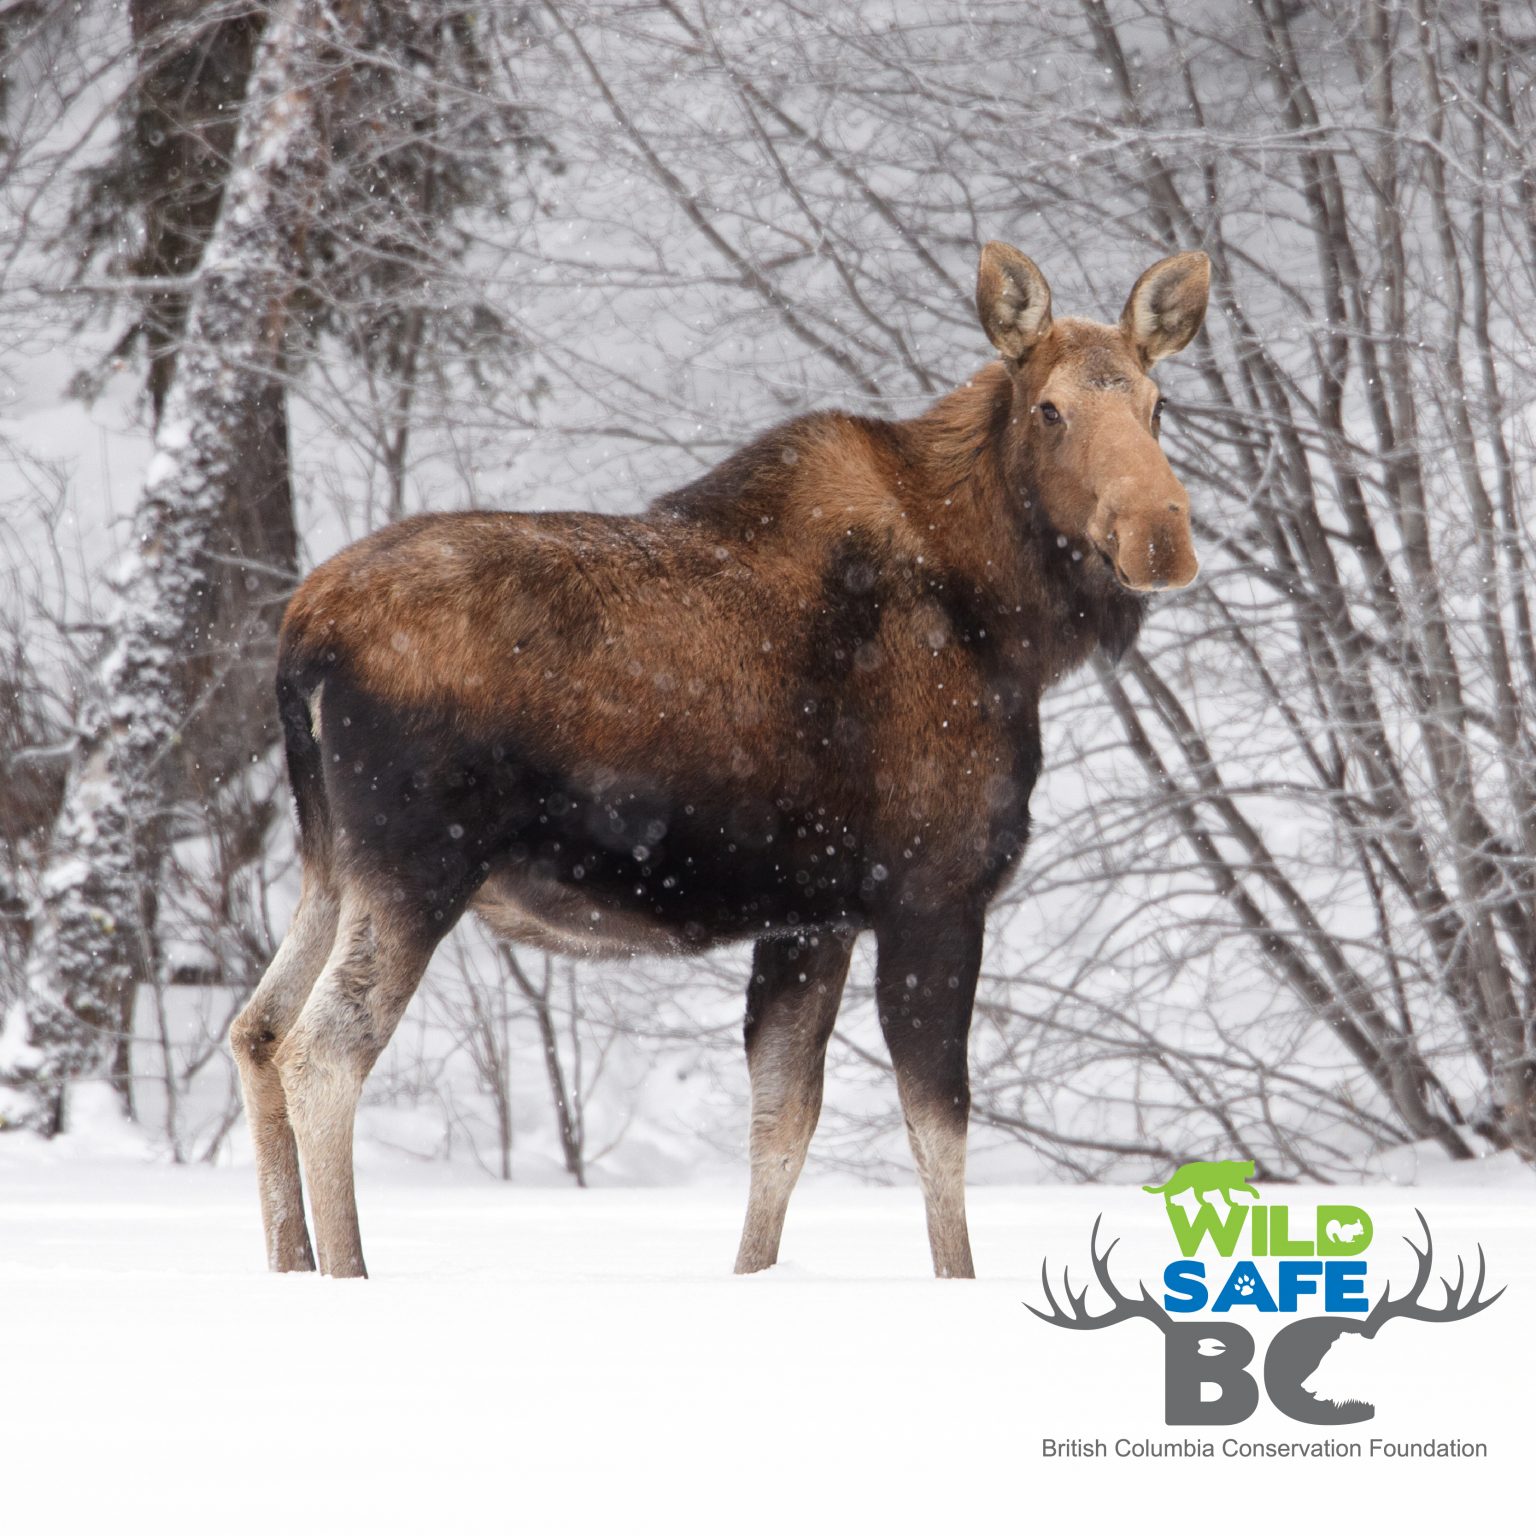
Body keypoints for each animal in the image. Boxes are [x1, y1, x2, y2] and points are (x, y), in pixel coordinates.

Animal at [229, 243, 1210, 1279]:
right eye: (1051, 408)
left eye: (1159, 404)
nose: (1161, 536)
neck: (1010, 626)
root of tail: (301, 637)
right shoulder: (933, 892)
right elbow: (936, 1131)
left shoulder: (813, 917)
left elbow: (782, 1124)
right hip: (415, 866)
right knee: (323, 1050)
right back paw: (347, 1271)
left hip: (330, 860)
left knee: (257, 1028)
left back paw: (292, 1263)